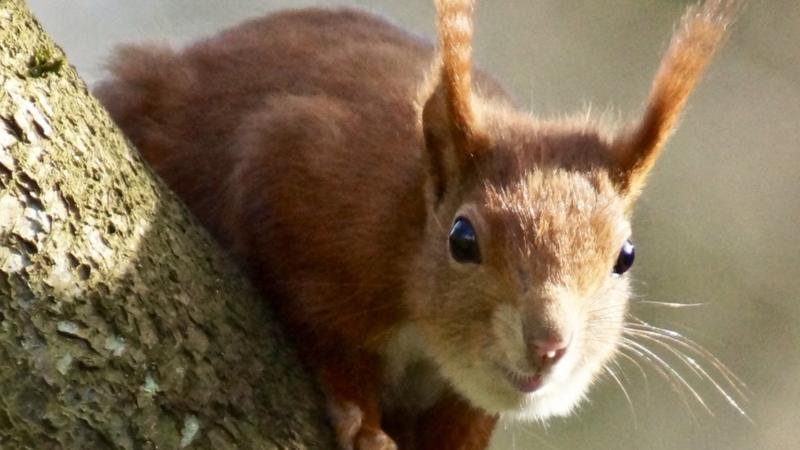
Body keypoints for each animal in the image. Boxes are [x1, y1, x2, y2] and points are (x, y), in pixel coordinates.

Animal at [95, 0, 734, 449]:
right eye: (462, 239)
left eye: (625, 256)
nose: (549, 344)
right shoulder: (303, 180)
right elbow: (326, 331)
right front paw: (359, 419)